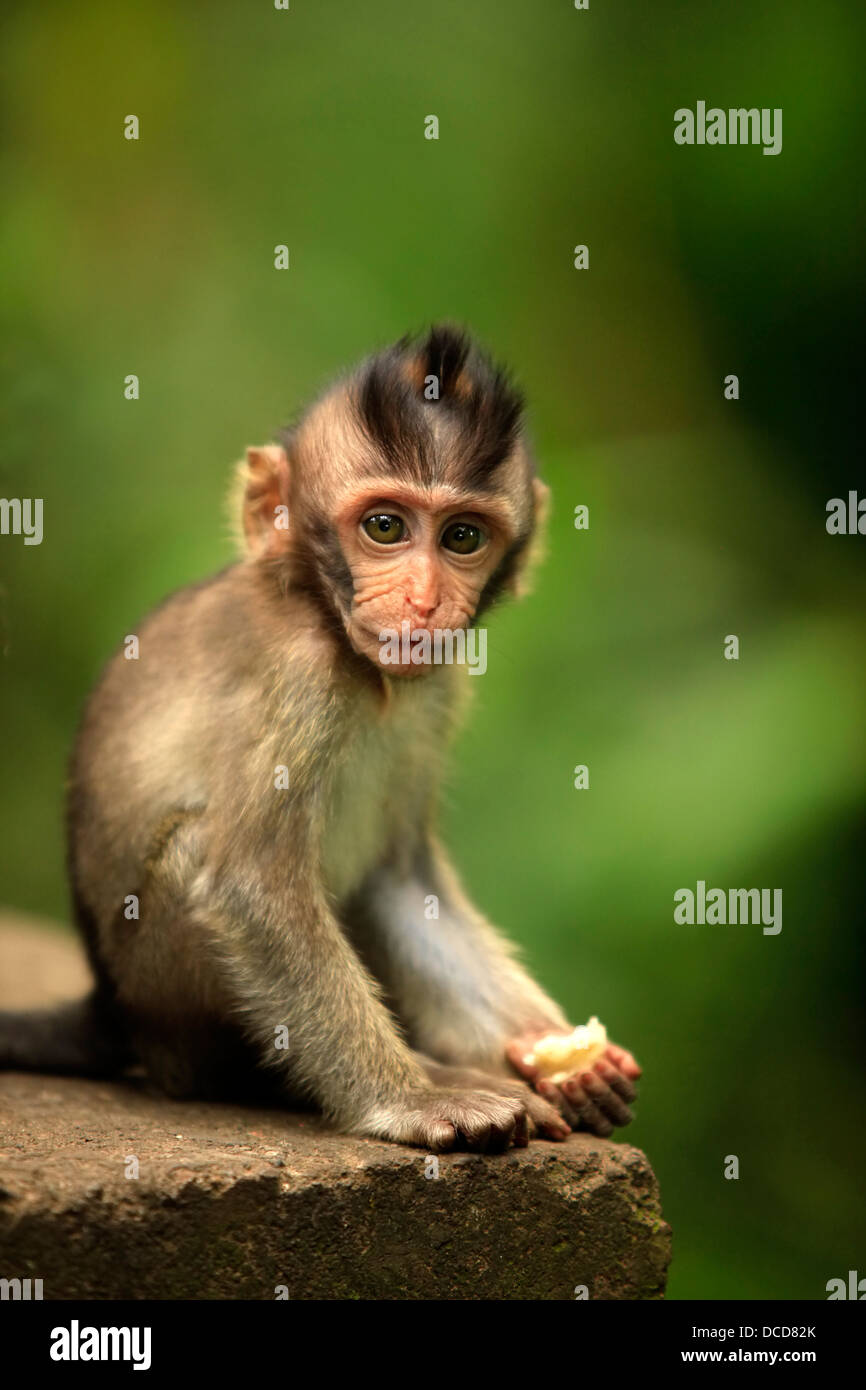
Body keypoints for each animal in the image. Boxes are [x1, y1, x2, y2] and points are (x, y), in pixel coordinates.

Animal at [0, 326, 640, 1153]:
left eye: (463, 537)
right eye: (384, 527)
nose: (423, 601)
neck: (346, 647)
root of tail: (109, 1004)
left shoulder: (439, 685)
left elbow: (399, 877)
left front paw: (549, 1051)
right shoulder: (299, 677)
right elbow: (248, 885)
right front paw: (416, 1100)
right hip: (157, 988)